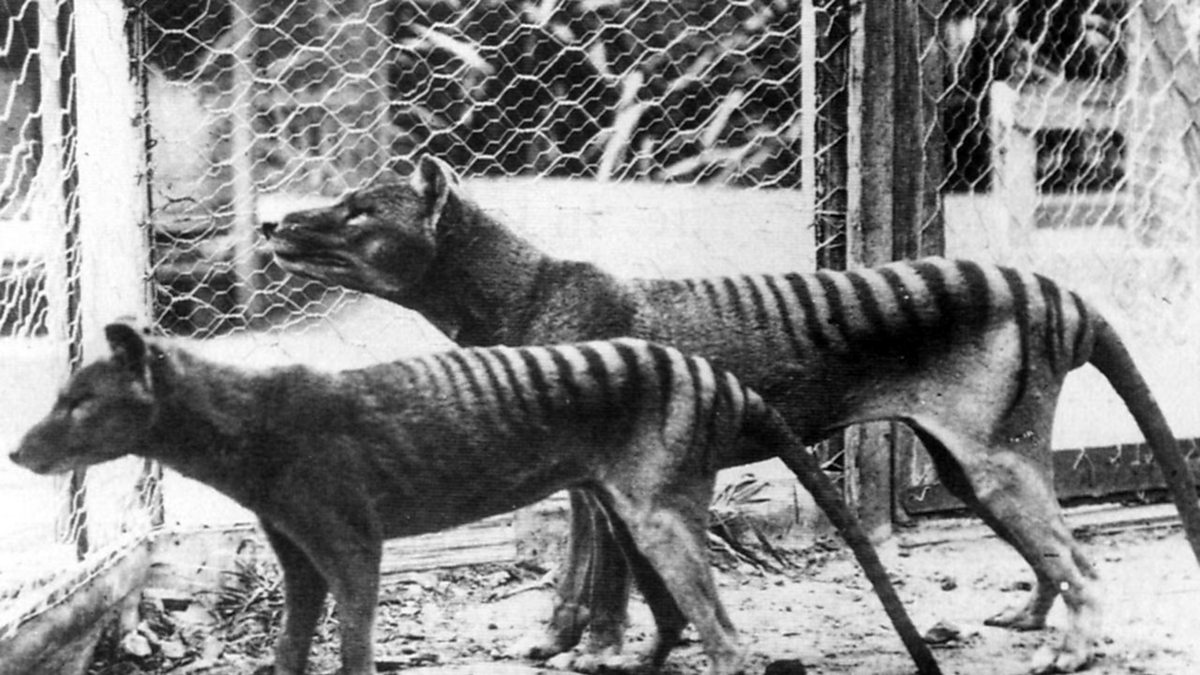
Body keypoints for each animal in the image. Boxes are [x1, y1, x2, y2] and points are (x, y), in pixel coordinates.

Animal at [9, 322, 940, 675]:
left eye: (79, 401)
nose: (17, 450)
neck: (248, 421)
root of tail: (719, 375)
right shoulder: (296, 551)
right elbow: (290, 641)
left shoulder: (351, 540)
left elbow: (353, 641)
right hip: (627, 508)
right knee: (678, 616)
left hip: (657, 510)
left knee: (726, 635)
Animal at [261, 155, 1200, 674]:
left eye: (357, 209)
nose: (272, 223)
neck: (526, 290)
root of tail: (1055, 292)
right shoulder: (582, 478)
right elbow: (573, 570)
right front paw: (555, 639)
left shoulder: (607, 472)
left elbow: (604, 576)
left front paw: (597, 648)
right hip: (962, 465)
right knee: (1053, 551)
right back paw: (1035, 616)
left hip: (995, 458)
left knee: (1083, 558)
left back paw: (1071, 647)